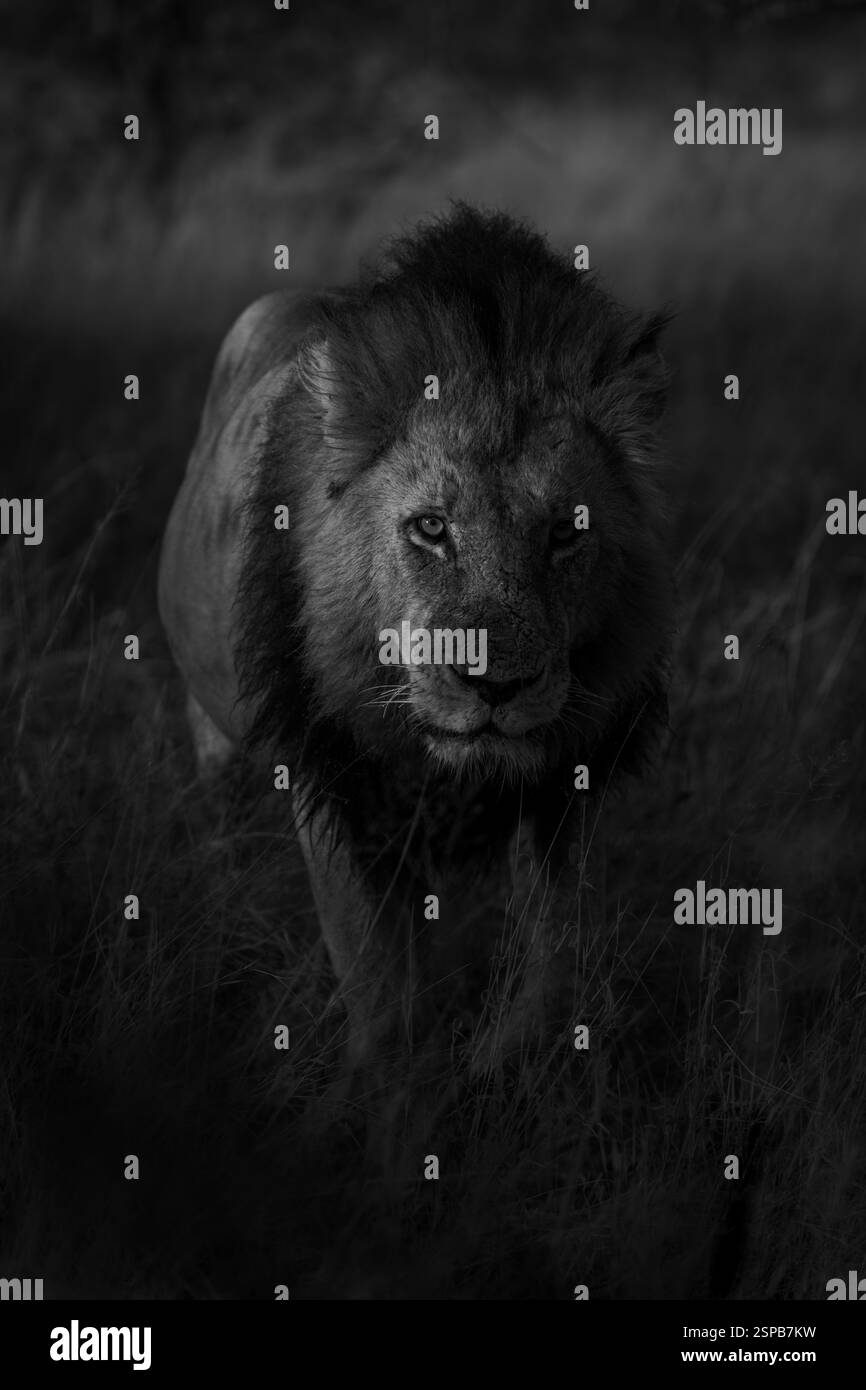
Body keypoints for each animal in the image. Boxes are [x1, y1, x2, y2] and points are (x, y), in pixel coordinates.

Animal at [158, 204, 673, 1068]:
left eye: (566, 532)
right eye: (431, 528)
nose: (496, 686)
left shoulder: (563, 785)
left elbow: (555, 957)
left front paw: (500, 1061)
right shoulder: (331, 780)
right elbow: (379, 987)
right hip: (214, 732)